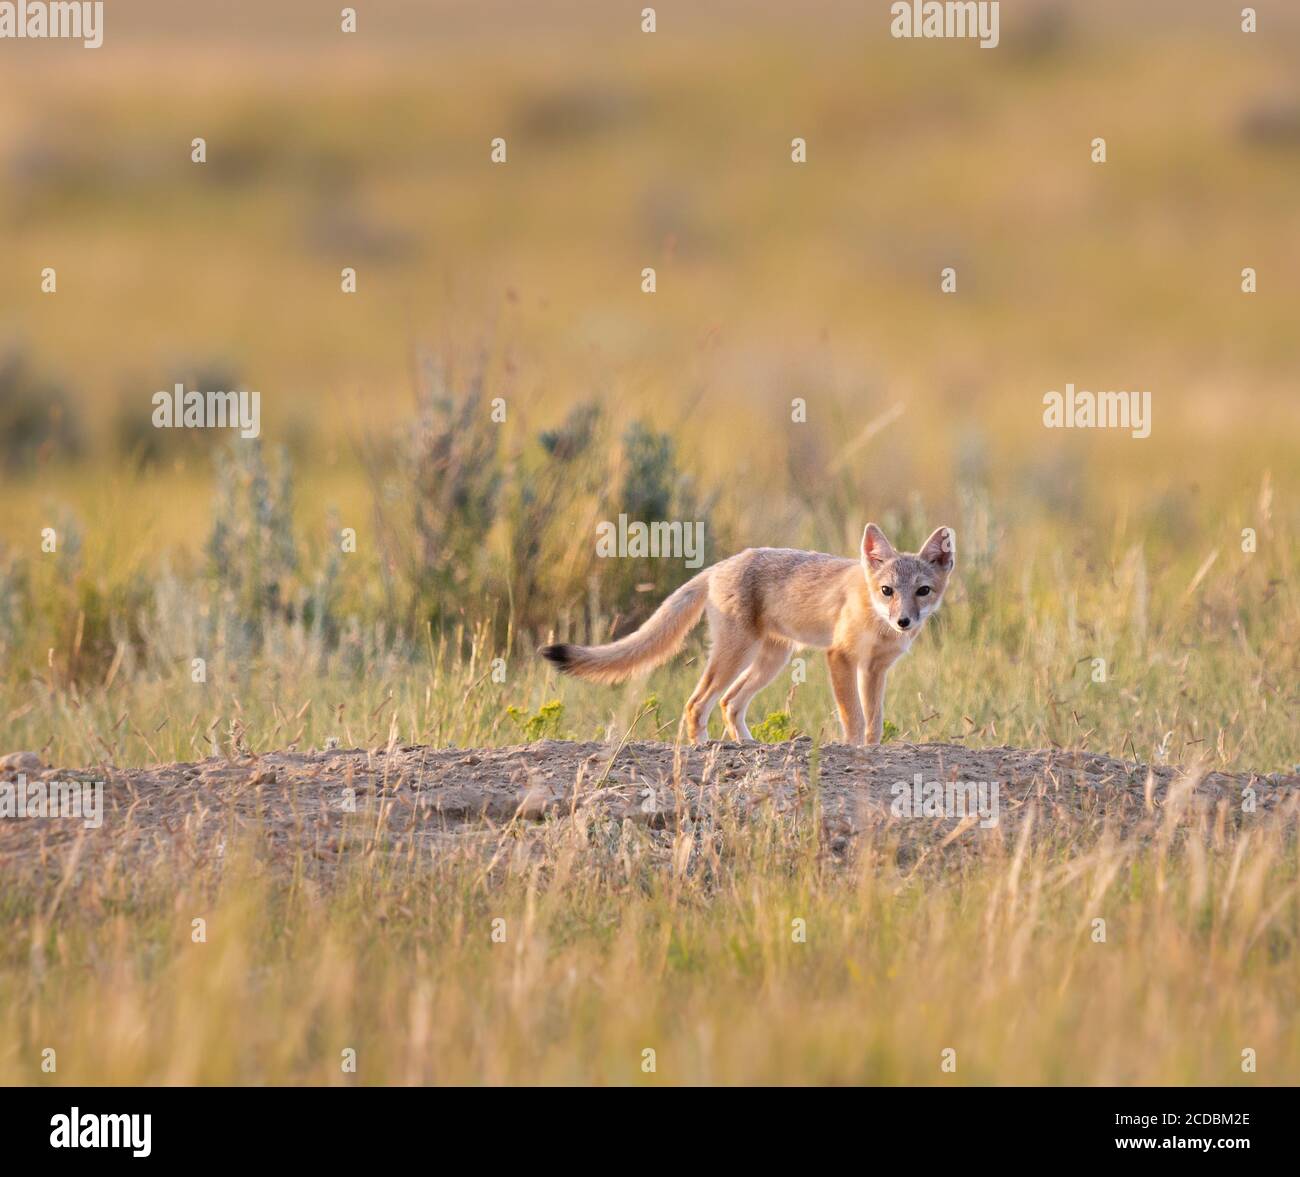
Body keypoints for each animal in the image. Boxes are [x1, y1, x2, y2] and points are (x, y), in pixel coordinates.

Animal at [540, 523, 955, 745]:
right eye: (887, 591)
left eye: (923, 591)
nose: (904, 622)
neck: (878, 624)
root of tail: (719, 565)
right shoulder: (839, 657)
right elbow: (852, 715)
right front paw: (852, 748)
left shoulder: (874, 669)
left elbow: (874, 719)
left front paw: (870, 749)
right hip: (737, 654)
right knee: (697, 703)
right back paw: (703, 747)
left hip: (771, 660)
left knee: (729, 702)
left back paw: (746, 744)